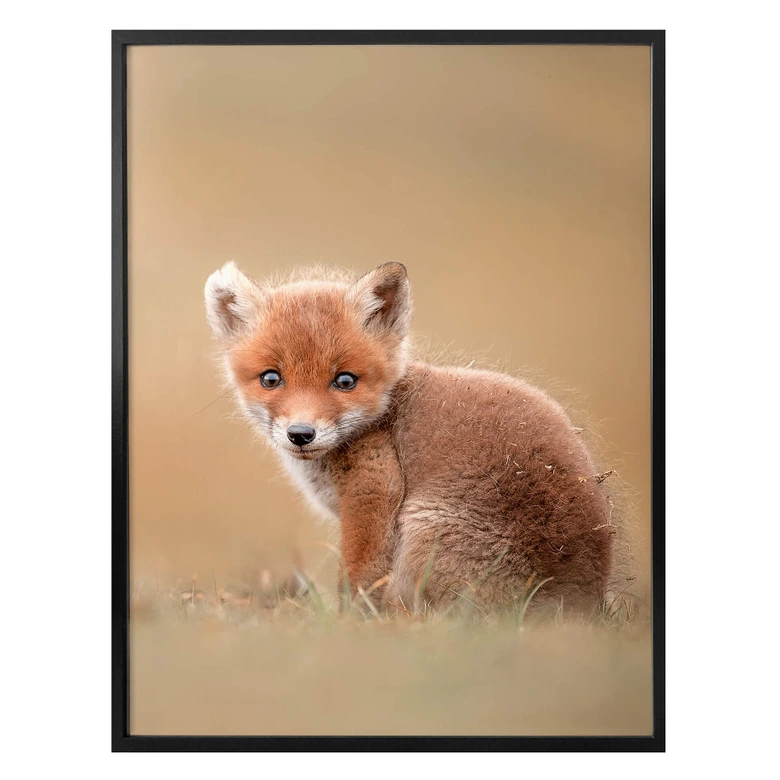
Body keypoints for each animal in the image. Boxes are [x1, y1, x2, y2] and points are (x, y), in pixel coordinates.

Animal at [205, 261, 615, 613]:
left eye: (345, 381)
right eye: (271, 378)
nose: (301, 434)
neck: (383, 415)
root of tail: (579, 603)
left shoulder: (374, 490)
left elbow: (359, 578)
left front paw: (349, 626)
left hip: (422, 531)